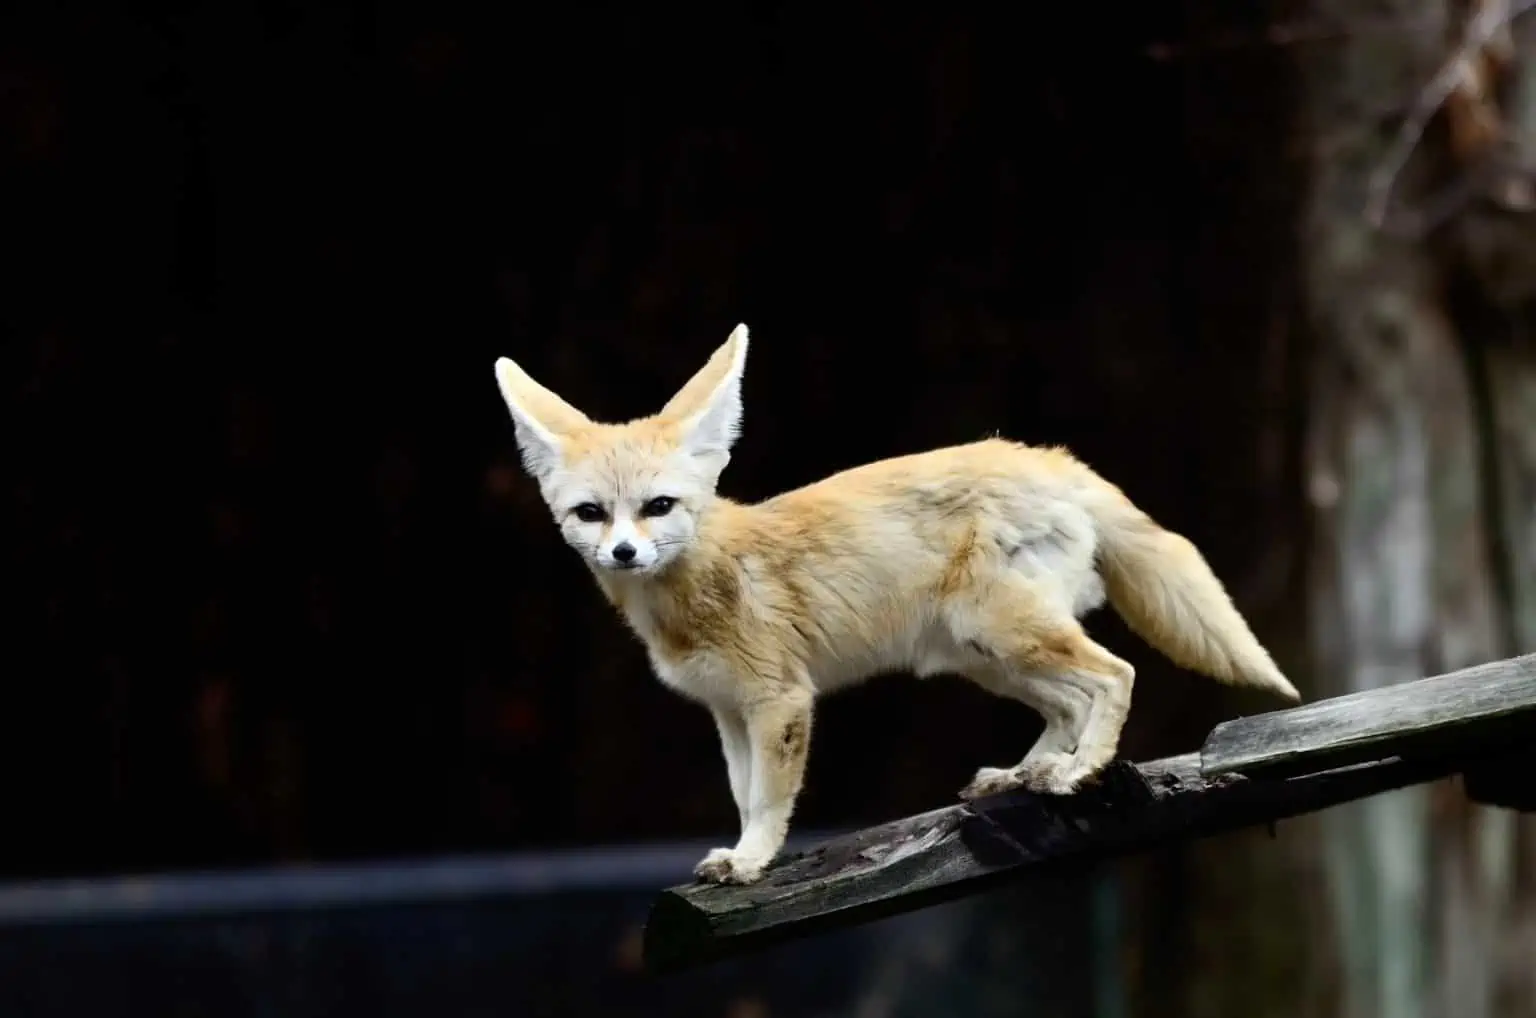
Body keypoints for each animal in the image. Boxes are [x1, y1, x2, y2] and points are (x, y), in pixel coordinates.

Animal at [492, 324, 1300, 886]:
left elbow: (769, 801)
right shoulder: (728, 710)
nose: (625, 554)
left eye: (659, 507)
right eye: (592, 515)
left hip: (1003, 634)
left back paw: (1078, 772)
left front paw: (752, 863)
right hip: (983, 656)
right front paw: (742, 856)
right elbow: (743, 792)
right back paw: (1027, 773)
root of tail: (1048, 458)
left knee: (1115, 676)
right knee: (1068, 704)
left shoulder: (781, 701)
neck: (696, 592)